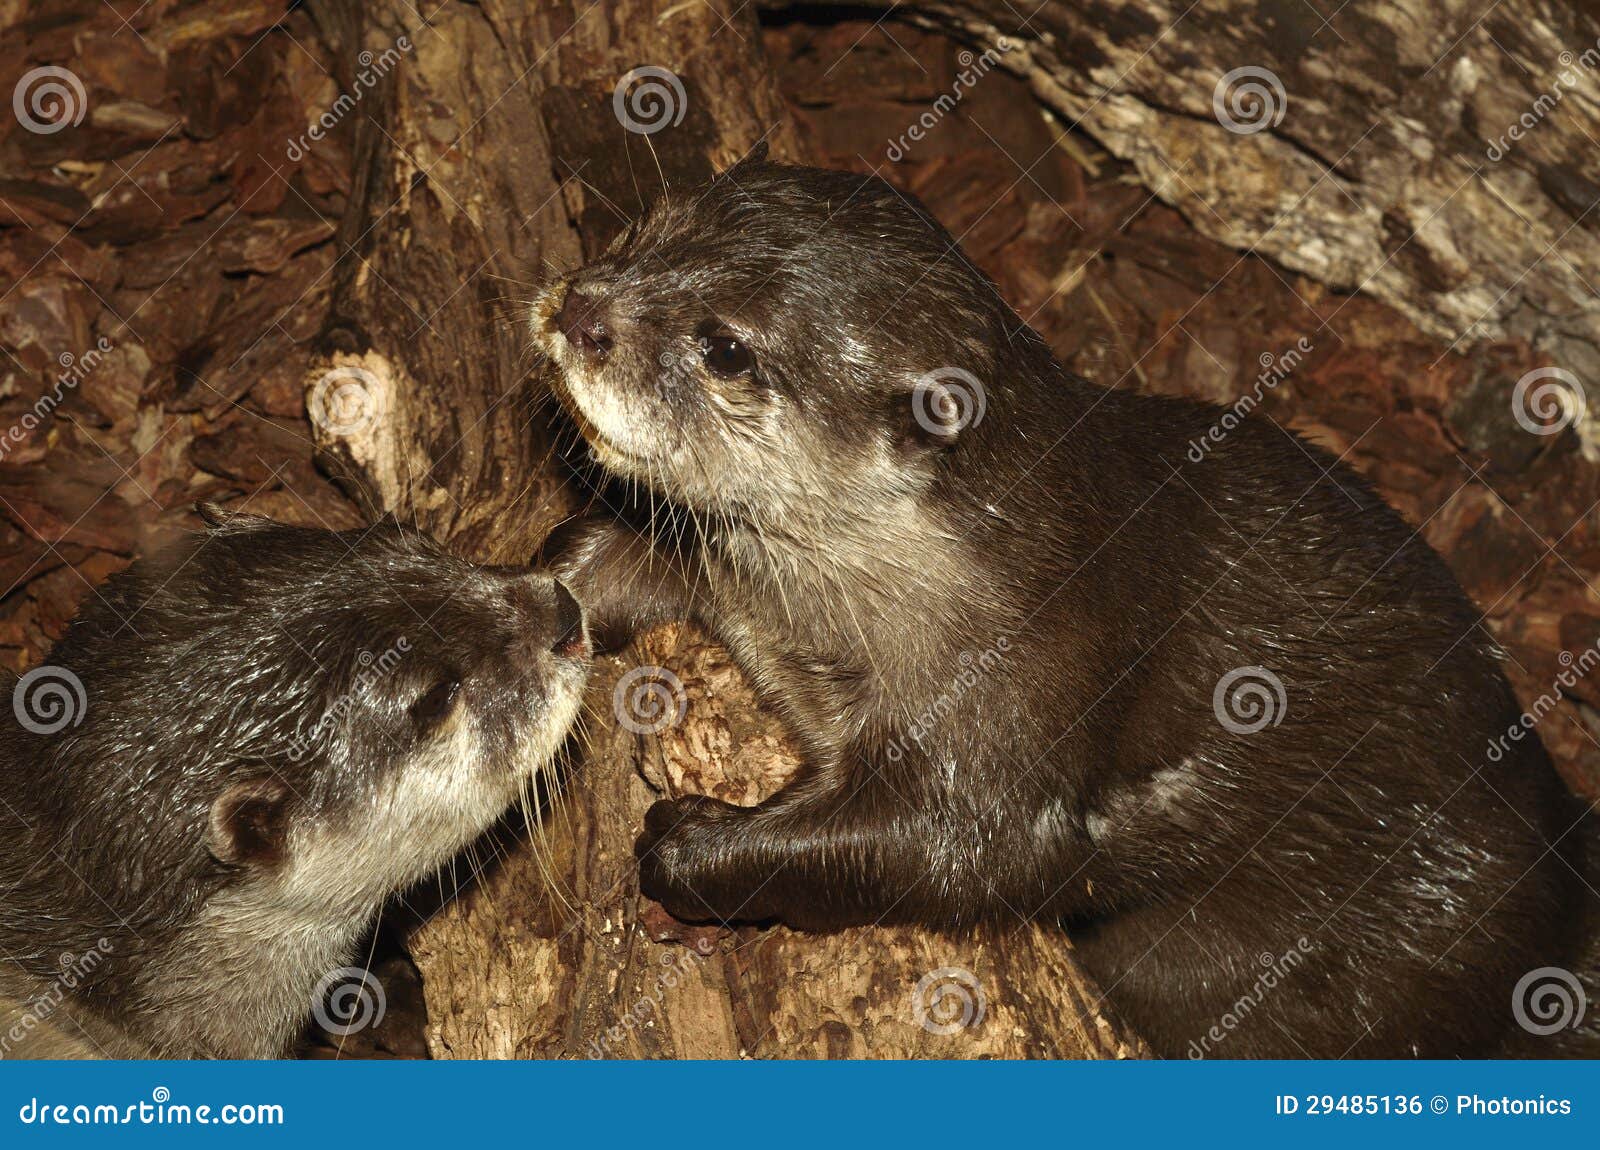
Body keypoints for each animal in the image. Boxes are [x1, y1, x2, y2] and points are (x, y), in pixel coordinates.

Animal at [533, 151, 1597, 1059]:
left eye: (724, 349)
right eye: (648, 227)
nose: (581, 308)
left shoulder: (1024, 686)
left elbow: (960, 852)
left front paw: (688, 845)